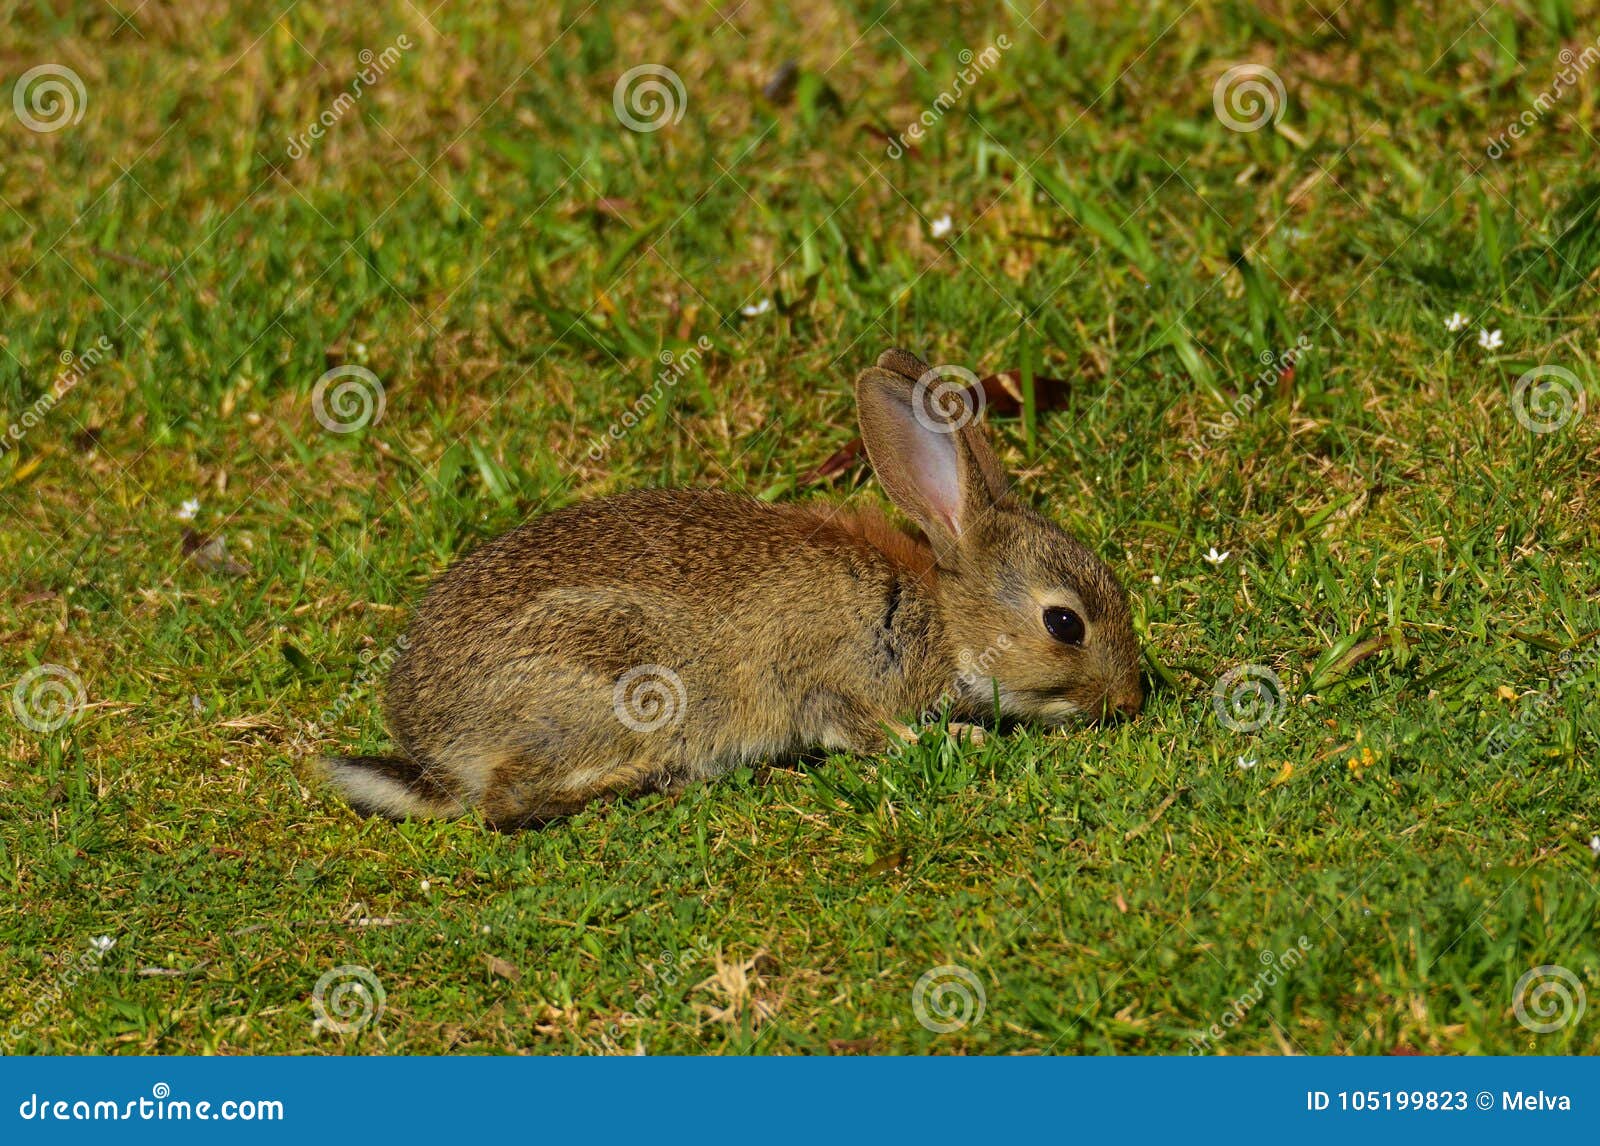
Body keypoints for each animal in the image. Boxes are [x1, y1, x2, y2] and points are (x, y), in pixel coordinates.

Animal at [320, 348, 1144, 825]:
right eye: (1065, 624)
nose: (1133, 700)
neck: (939, 616)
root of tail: (431, 746)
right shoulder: (833, 675)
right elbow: (862, 726)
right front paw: (955, 738)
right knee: (506, 801)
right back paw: (658, 777)